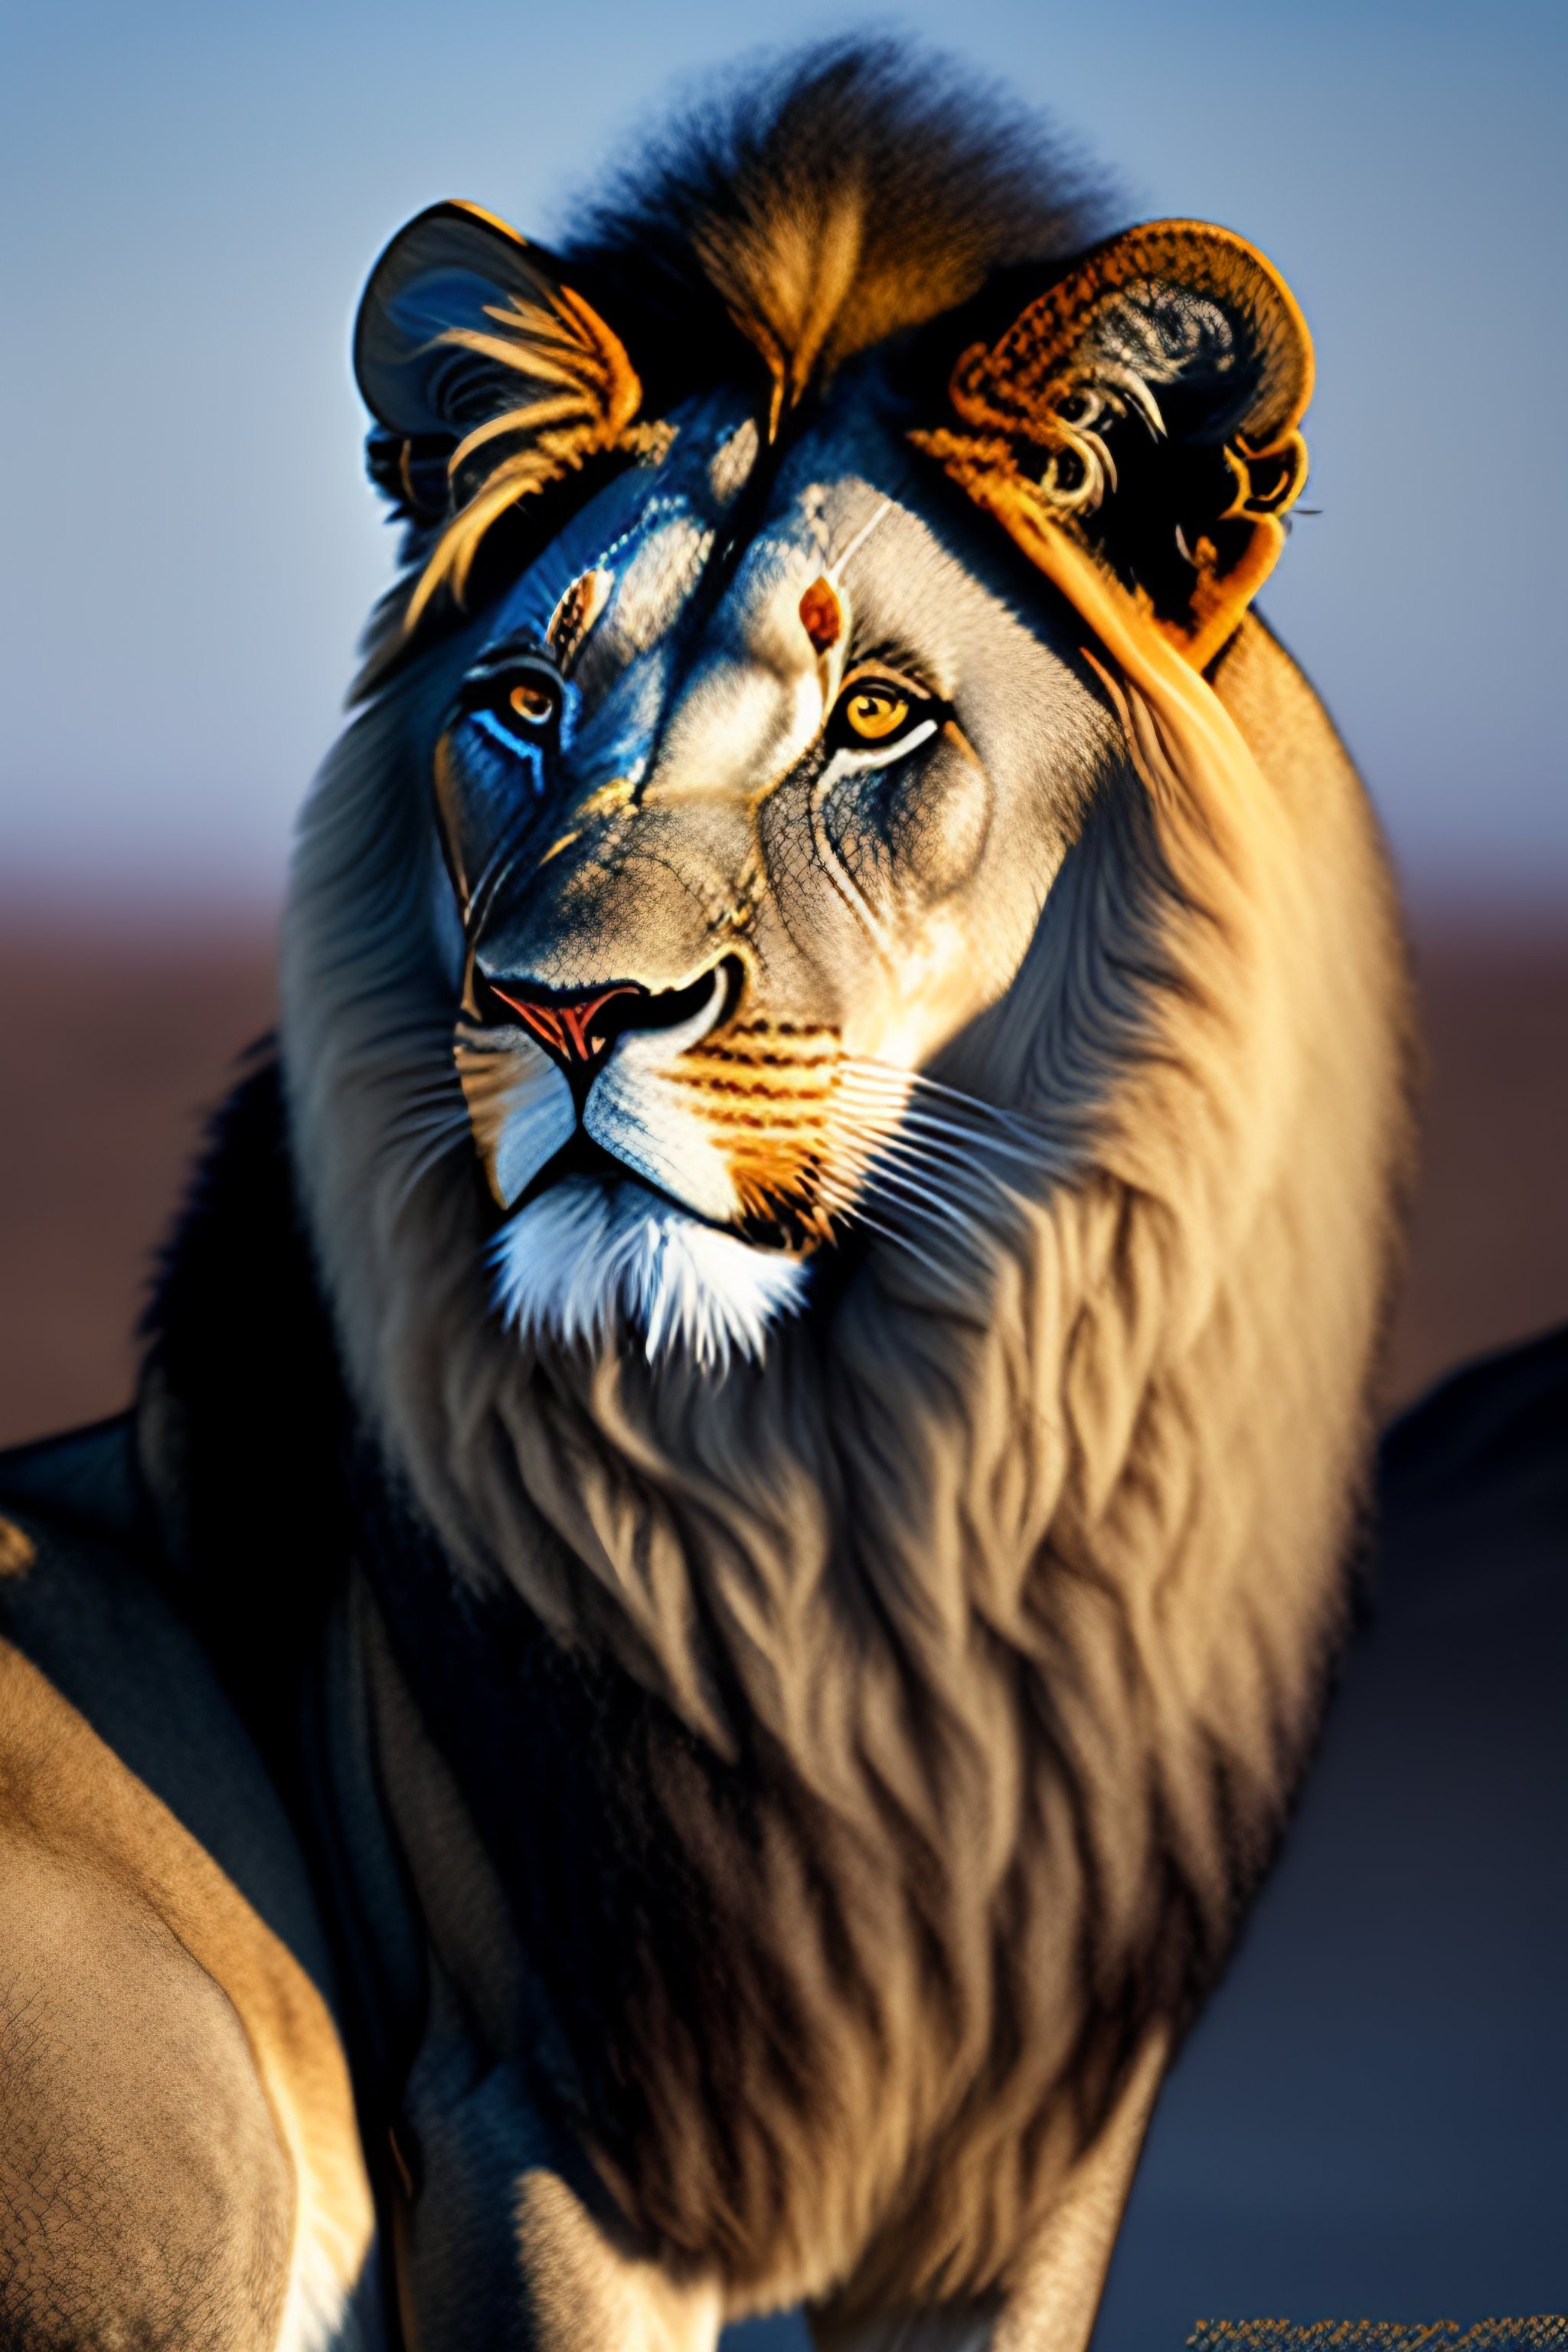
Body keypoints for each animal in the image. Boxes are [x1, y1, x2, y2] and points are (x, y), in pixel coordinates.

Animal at [0, 42, 1414, 2352]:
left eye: (877, 716)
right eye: (521, 700)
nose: (562, 1008)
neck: (868, 1527)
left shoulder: (1032, 2180)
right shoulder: (533, 2126)